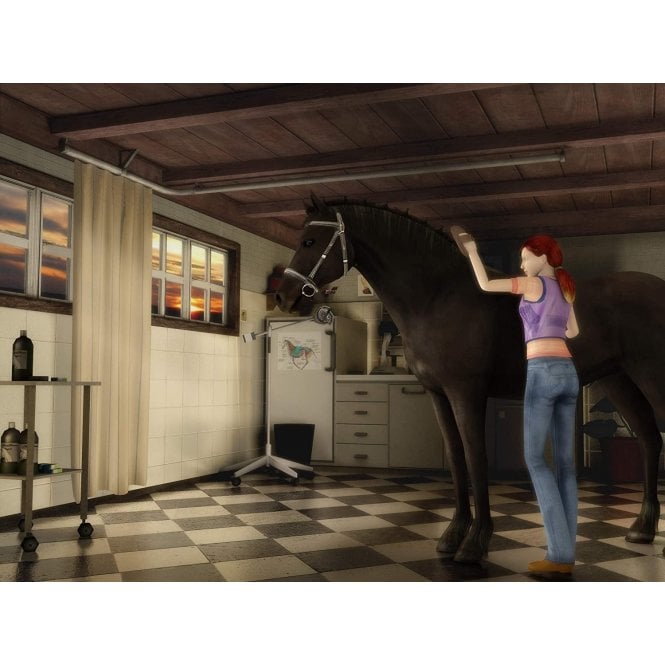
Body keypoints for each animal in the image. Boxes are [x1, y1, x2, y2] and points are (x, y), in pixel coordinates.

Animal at [275, 196, 665, 564]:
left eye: (310, 241)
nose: (284, 296)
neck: (437, 297)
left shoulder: (467, 393)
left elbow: (476, 457)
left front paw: (476, 542)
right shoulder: (438, 394)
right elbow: (456, 458)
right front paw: (453, 535)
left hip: (650, 375)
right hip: (617, 381)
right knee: (648, 438)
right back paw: (643, 528)